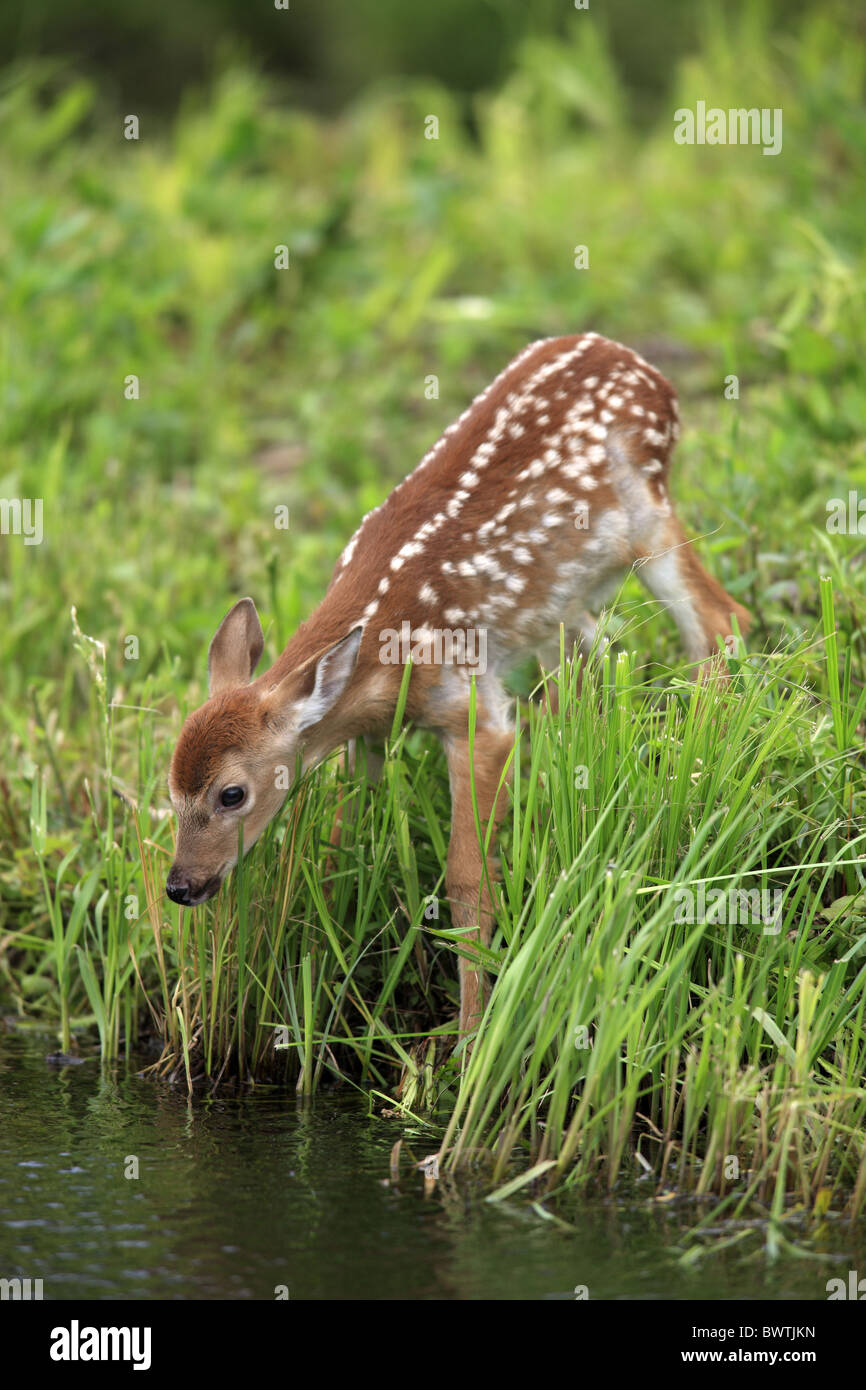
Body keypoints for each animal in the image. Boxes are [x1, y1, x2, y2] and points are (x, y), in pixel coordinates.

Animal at [165, 332, 750, 1038]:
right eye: (169, 790)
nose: (180, 886)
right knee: (600, 653)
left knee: (720, 619)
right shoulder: (364, 735)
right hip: (562, 601)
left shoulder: (472, 711)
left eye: (232, 794)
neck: (386, 654)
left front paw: (471, 1036)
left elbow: (468, 883)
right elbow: (339, 844)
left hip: (650, 516)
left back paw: (707, 749)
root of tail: (636, 361)